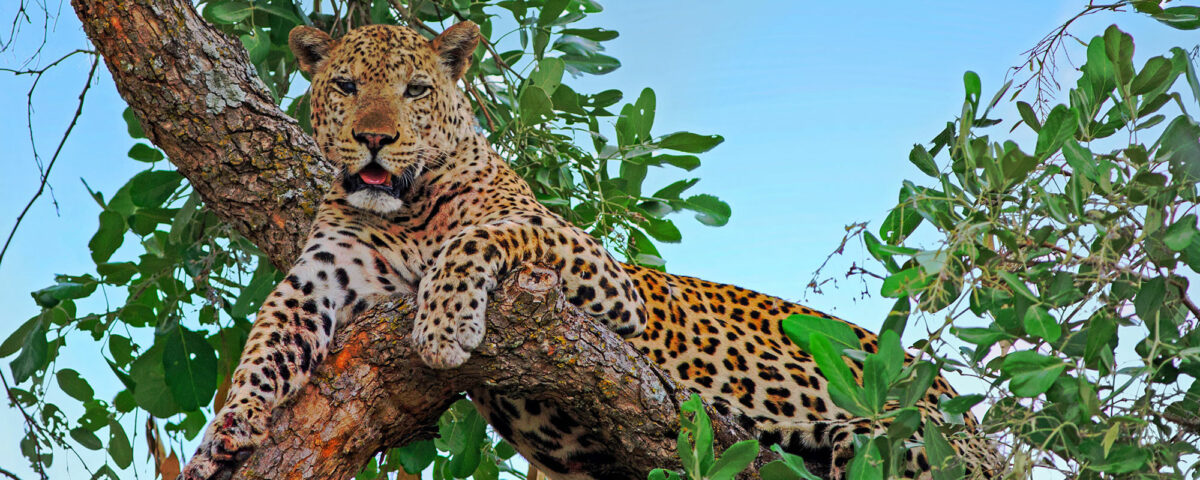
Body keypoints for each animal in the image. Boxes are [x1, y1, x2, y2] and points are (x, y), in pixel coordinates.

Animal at [179, 21, 1004, 480]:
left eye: (416, 91)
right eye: (346, 85)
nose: (374, 138)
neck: (407, 212)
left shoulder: (599, 272)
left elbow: (480, 235)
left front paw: (442, 327)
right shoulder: (322, 275)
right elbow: (266, 341)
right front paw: (227, 435)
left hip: (902, 441)